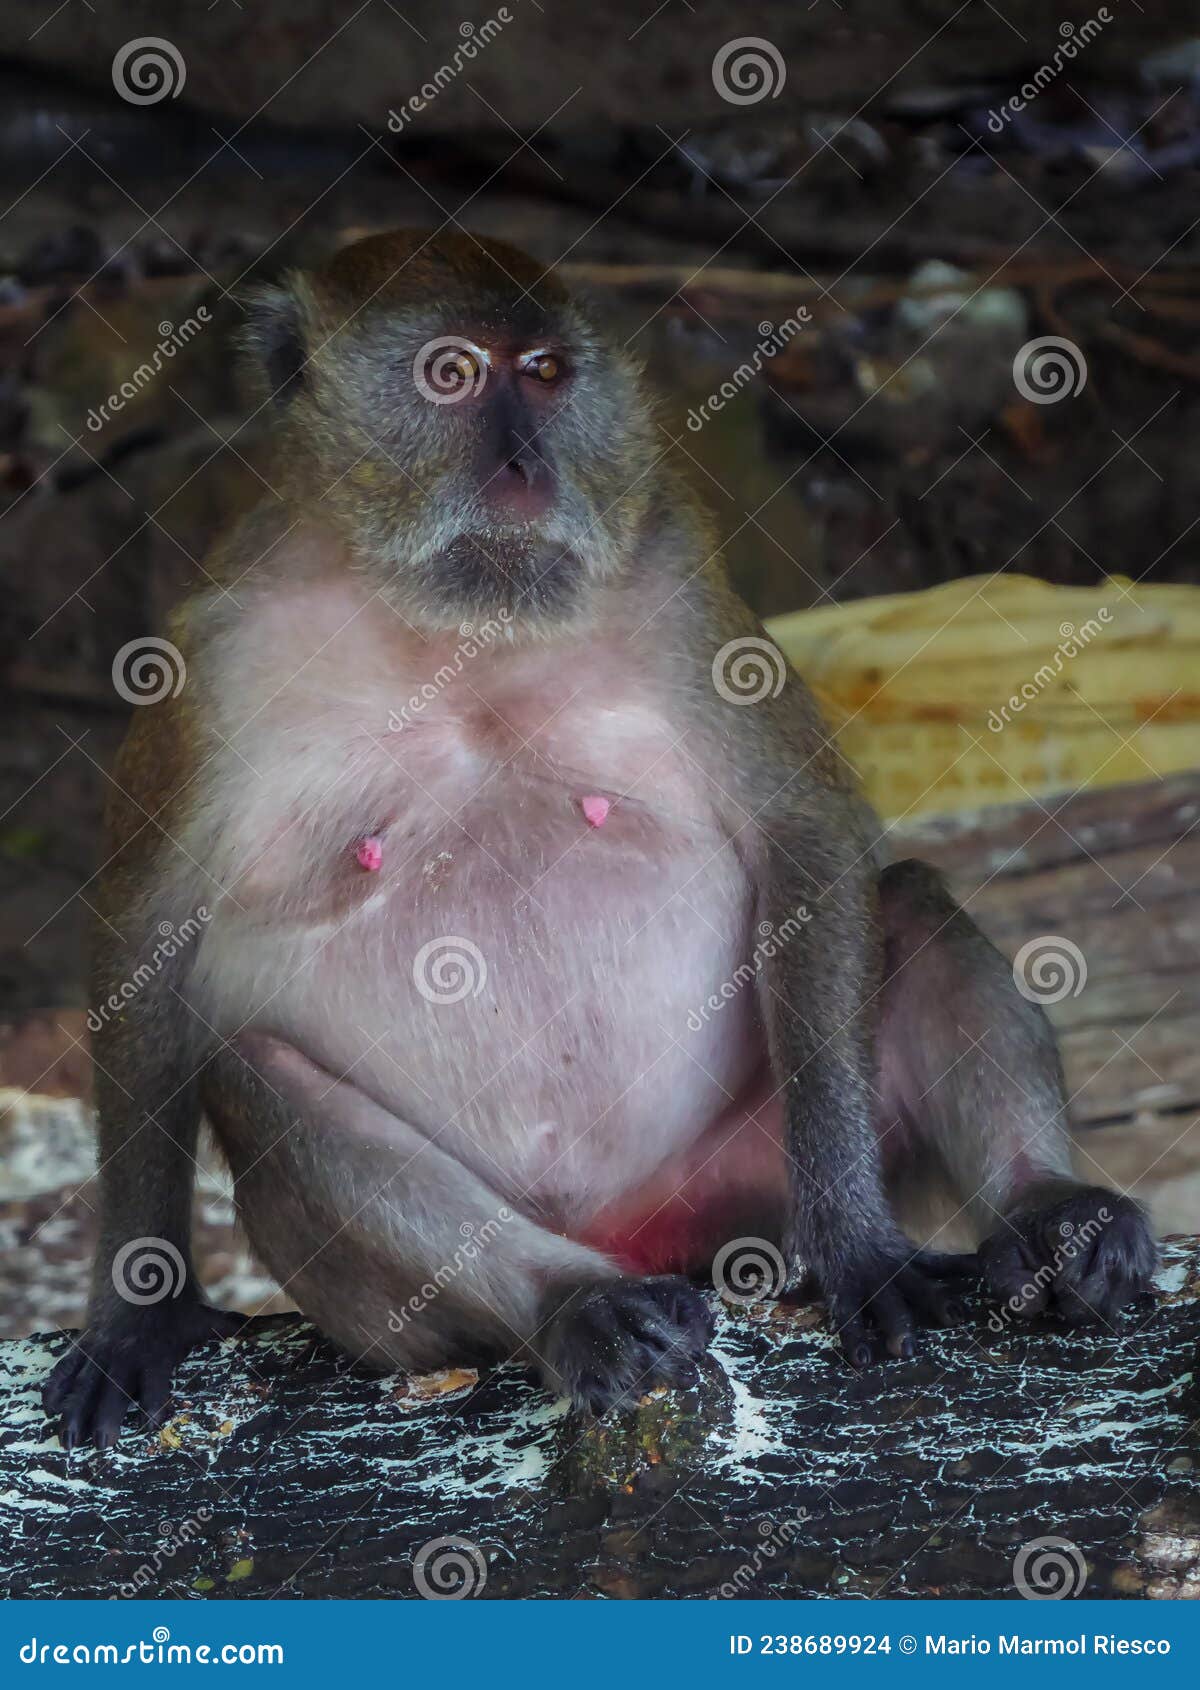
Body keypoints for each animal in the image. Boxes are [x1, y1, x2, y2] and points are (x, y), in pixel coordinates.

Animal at [44, 228, 1157, 1449]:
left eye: (543, 373)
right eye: (451, 375)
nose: (524, 472)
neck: (456, 624)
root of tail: (629, 1229)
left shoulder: (674, 576)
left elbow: (807, 833)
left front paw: (857, 1242)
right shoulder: (213, 655)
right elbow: (145, 941)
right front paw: (139, 1311)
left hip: (735, 1182)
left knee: (904, 898)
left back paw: (1047, 1210)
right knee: (254, 1077)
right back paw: (573, 1303)